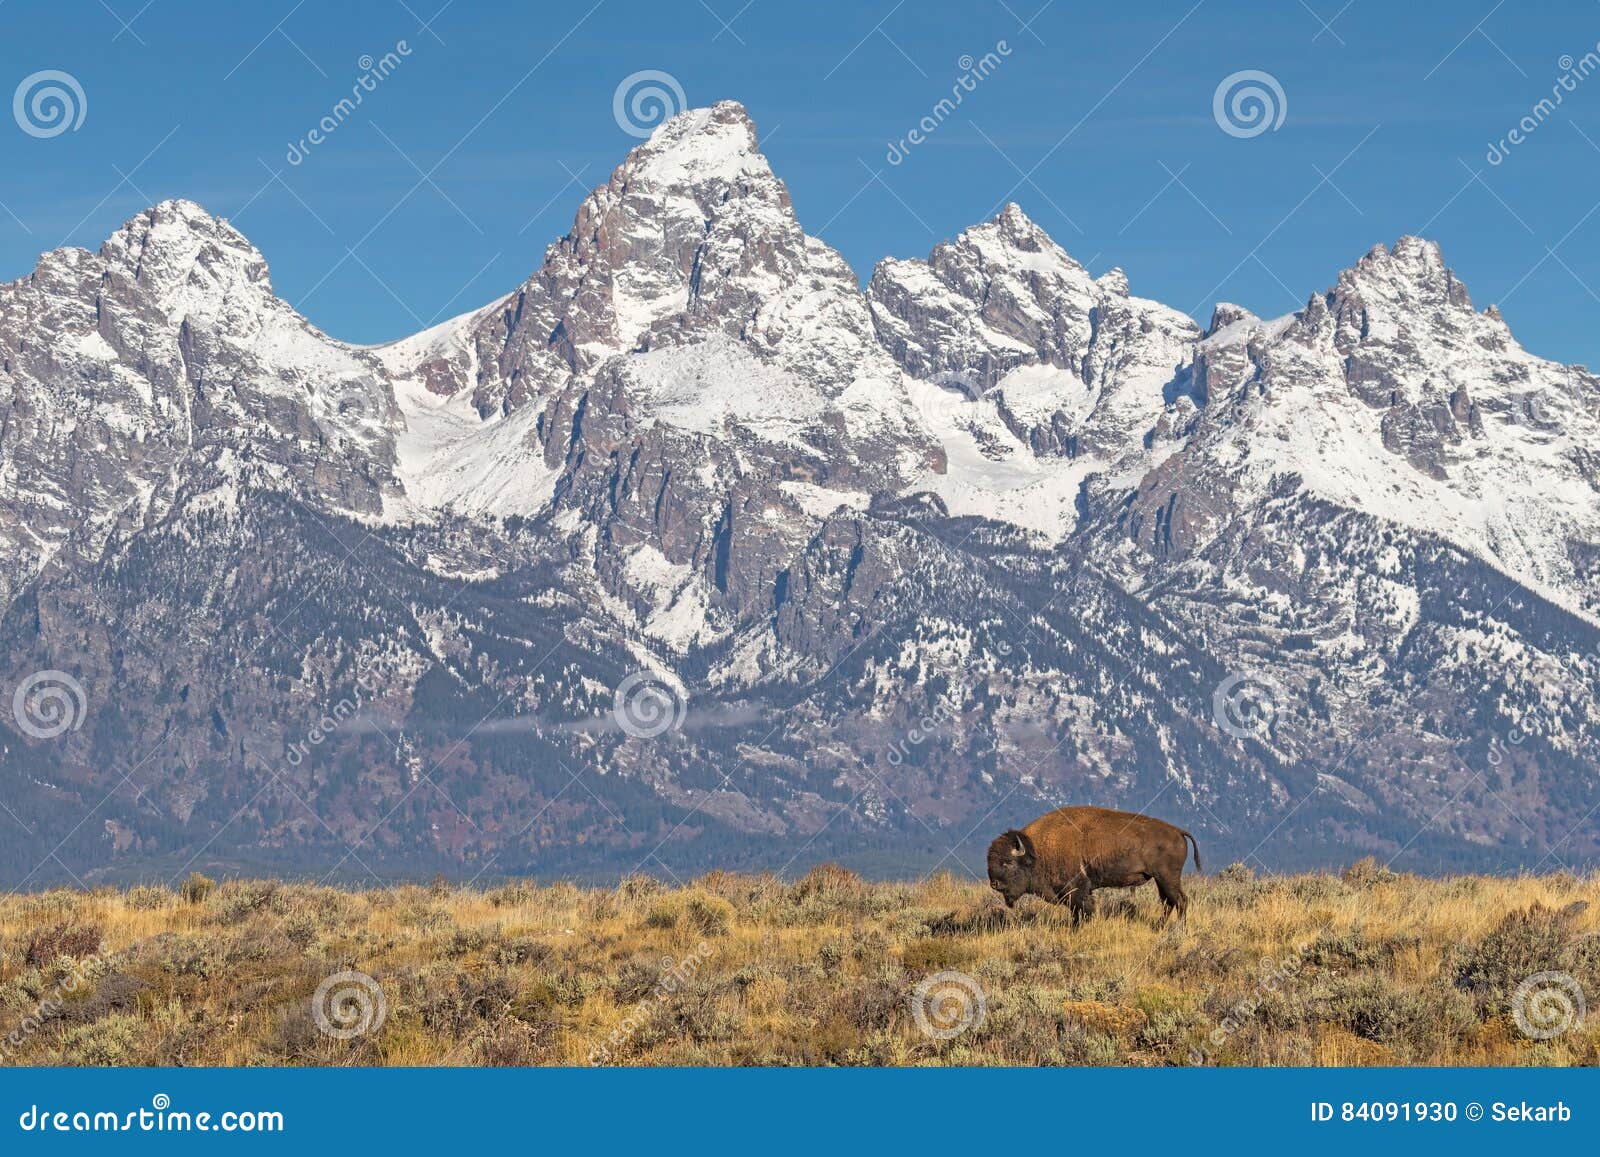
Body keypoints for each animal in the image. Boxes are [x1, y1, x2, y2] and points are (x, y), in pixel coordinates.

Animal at [986, 806, 1200, 922]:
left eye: (1008, 862)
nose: (994, 884)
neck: (1037, 850)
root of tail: (1177, 831)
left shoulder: (1076, 889)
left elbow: (1084, 909)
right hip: (1159, 879)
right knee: (1168, 902)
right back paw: (1159, 927)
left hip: (1167, 877)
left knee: (1180, 900)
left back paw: (1179, 929)